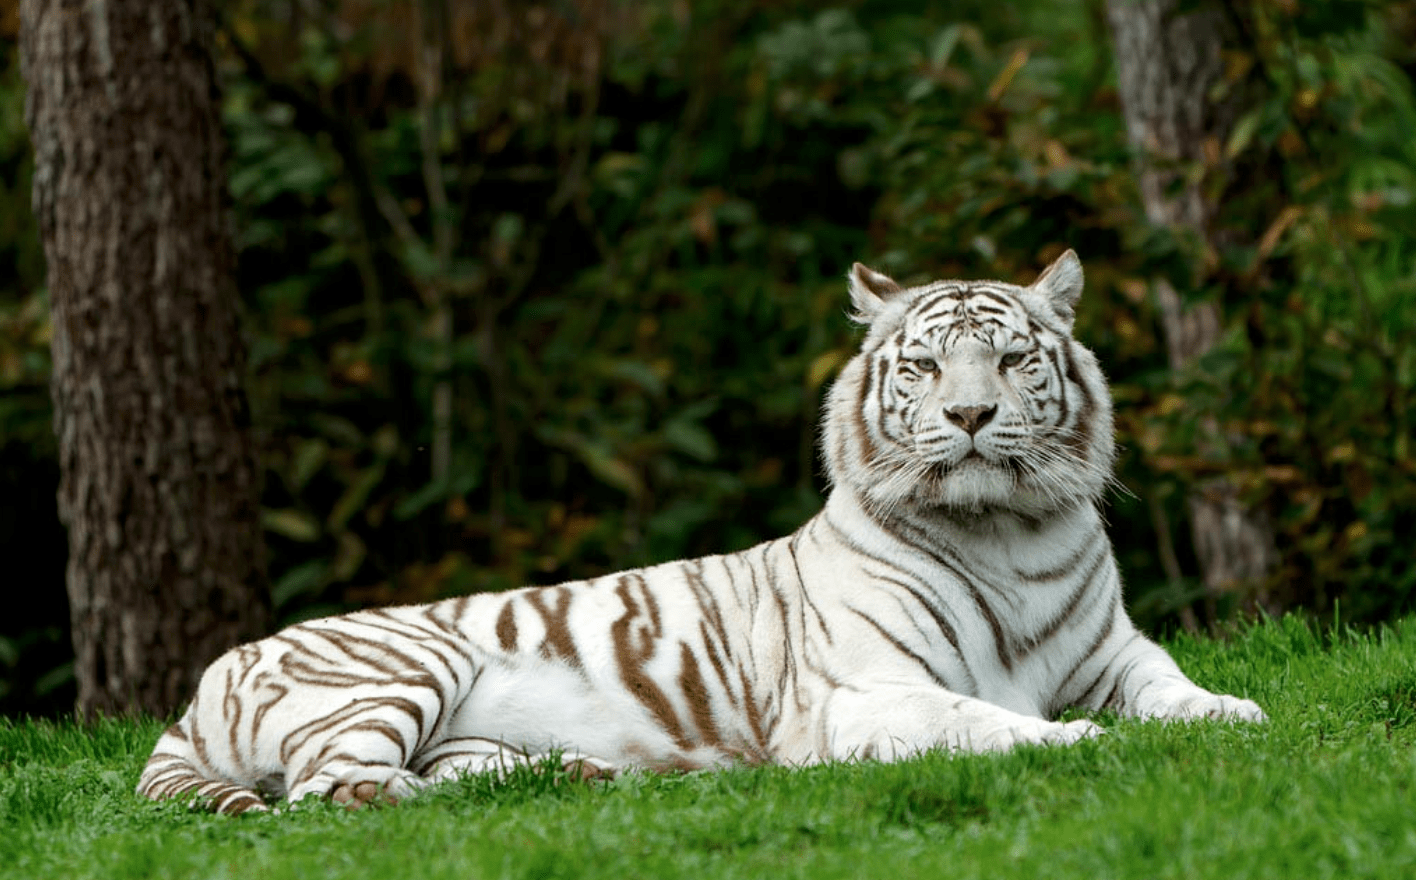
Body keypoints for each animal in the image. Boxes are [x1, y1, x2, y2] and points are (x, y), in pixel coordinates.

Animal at [138, 250, 1265, 814]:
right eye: (924, 367)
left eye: (1015, 359)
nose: (974, 414)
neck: (1007, 533)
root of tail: (198, 687)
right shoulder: (865, 693)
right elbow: (984, 722)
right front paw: (1075, 741)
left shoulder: (1115, 653)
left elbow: (1179, 692)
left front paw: (1233, 714)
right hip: (401, 670)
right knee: (325, 791)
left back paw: (588, 777)